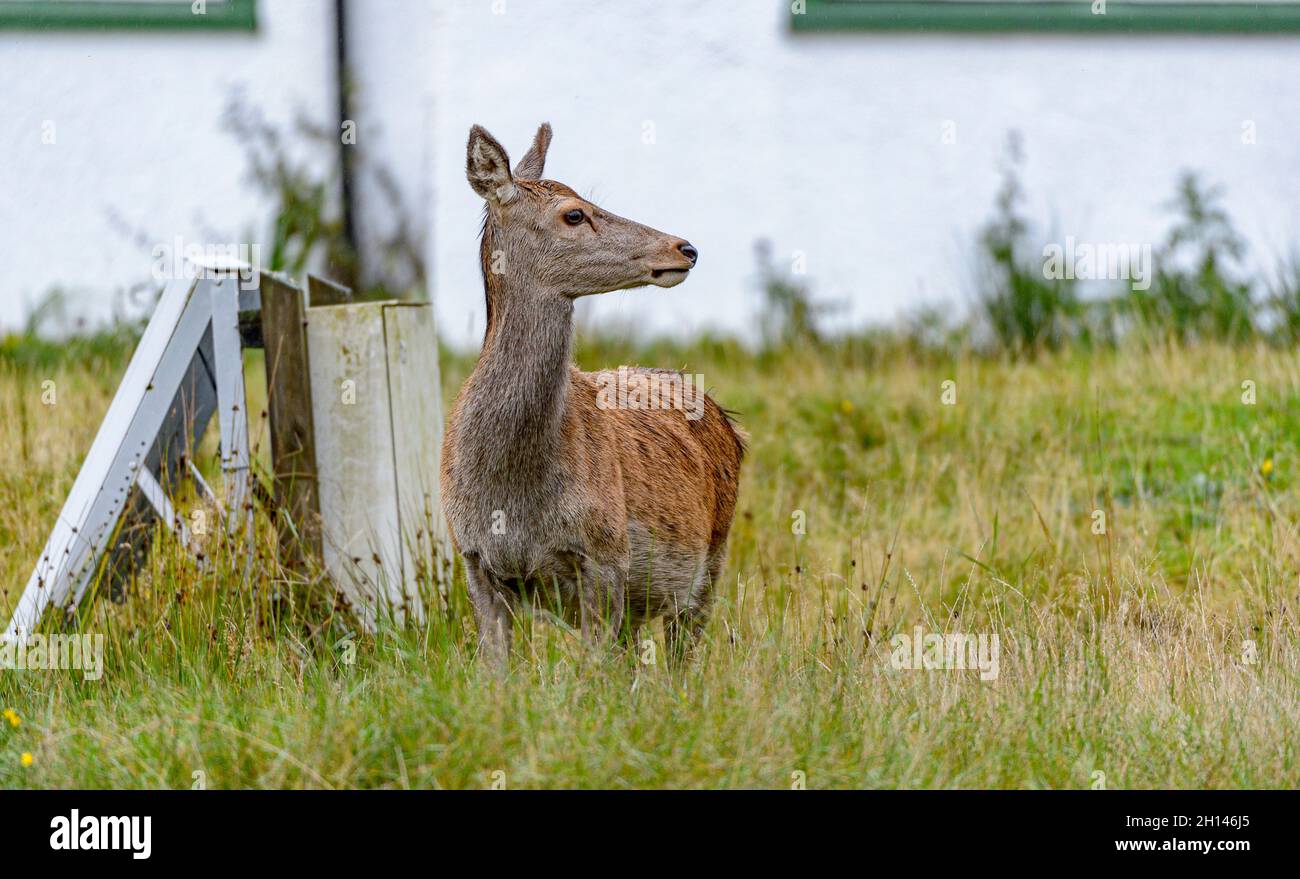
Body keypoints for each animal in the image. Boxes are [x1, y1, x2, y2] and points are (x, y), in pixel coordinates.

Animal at [439, 122, 745, 666]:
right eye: (574, 214)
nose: (685, 248)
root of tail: (728, 420)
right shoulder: (473, 558)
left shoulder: (606, 554)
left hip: (711, 559)